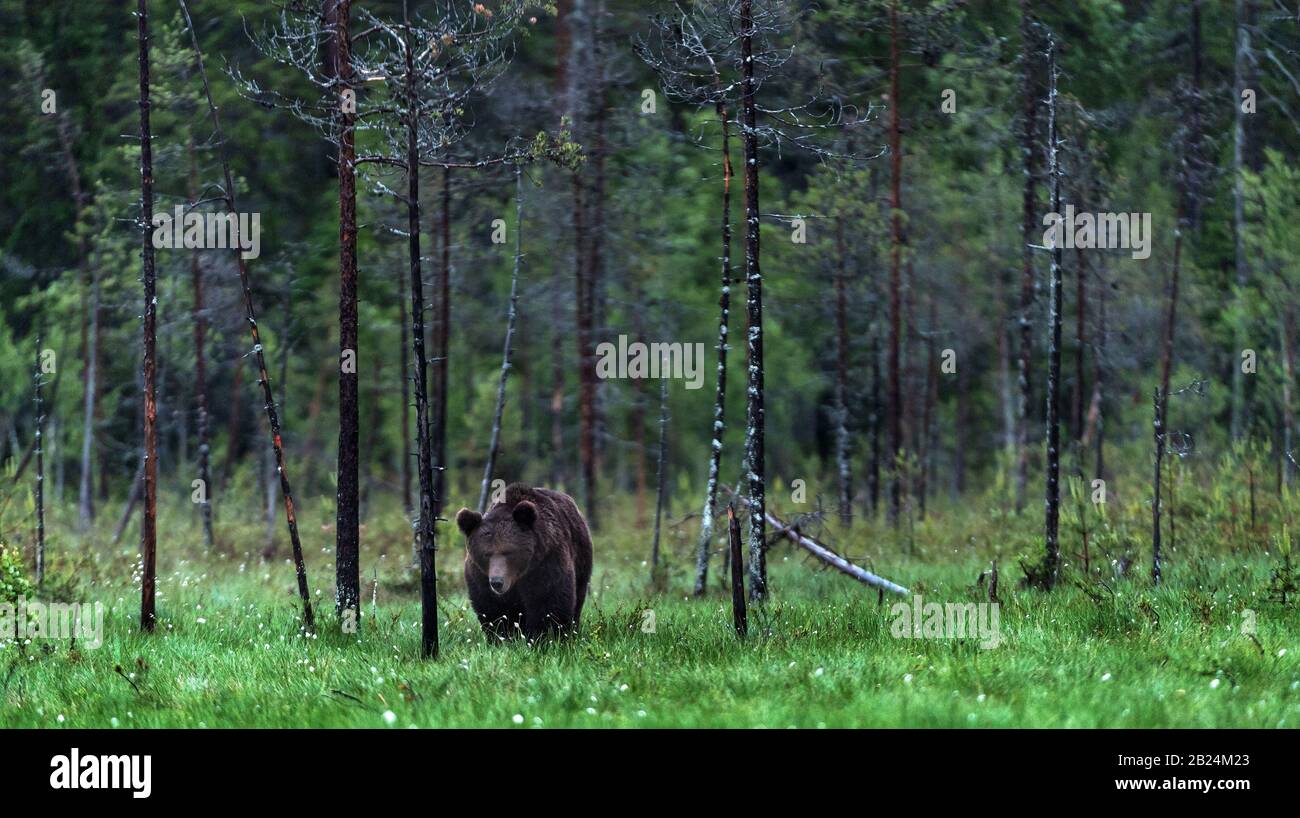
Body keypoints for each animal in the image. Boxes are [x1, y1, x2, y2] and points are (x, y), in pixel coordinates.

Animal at [455, 483, 593, 642]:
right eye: (486, 554)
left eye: (509, 552)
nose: (497, 582)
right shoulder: (480, 575)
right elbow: (492, 608)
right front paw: (501, 637)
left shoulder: (547, 562)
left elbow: (548, 601)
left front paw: (542, 638)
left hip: (581, 558)